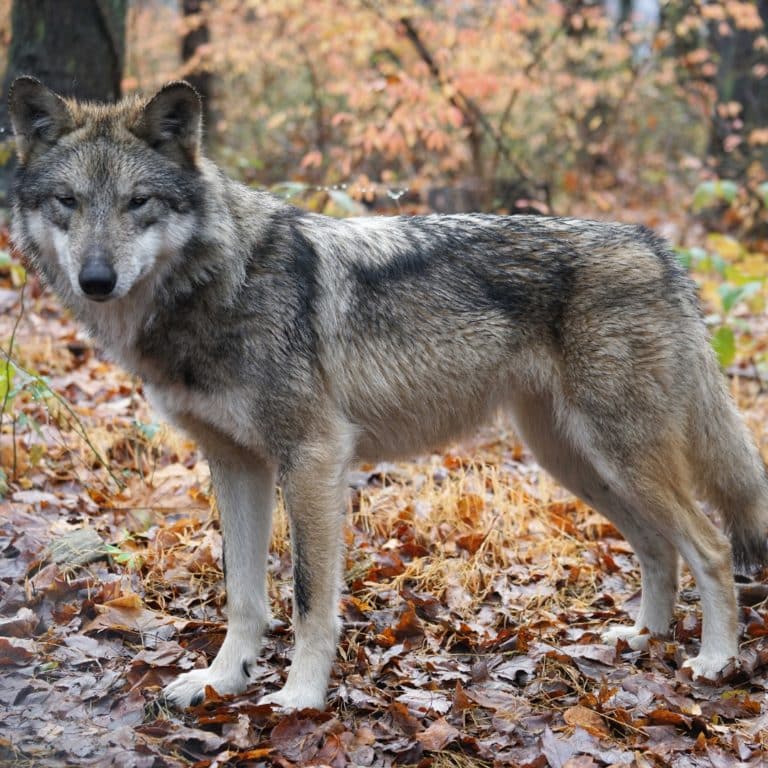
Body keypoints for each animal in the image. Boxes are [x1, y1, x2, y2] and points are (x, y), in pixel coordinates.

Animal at [8, 77, 768, 711]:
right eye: (68, 203)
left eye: (138, 203)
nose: (96, 280)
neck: (223, 282)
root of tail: (660, 250)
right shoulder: (236, 465)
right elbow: (244, 597)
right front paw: (221, 682)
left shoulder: (313, 458)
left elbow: (308, 596)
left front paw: (298, 698)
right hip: (577, 461)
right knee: (659, 547)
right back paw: (641, 639)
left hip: (619, 455)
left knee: (709, 544)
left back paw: (714, 661)